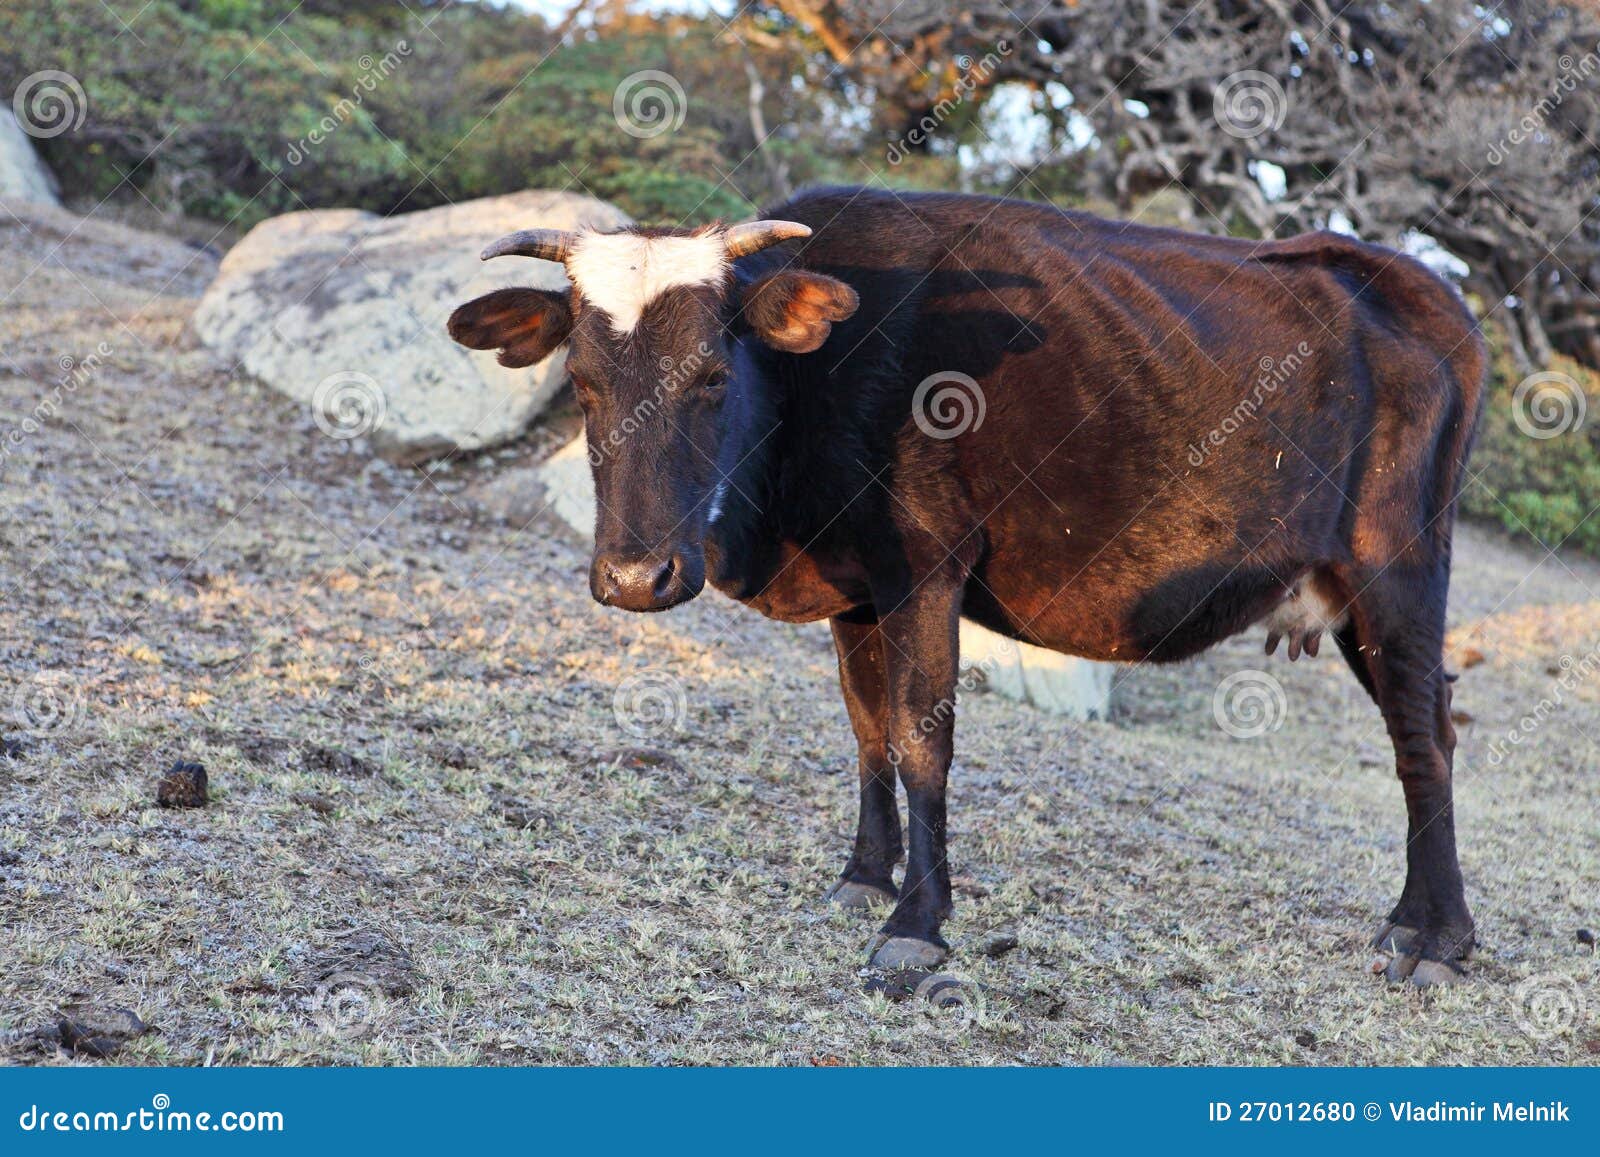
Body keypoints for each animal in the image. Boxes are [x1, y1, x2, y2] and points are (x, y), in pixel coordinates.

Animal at [449, 186, 1485, 986]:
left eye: (710, 373)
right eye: (582, 380)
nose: (636, 576)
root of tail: (1416, 284)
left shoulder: (925, 572)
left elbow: (920, 737)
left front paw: (916, 925)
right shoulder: (858, 589)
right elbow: (867, 728)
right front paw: (865, 877)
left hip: (1399, 569)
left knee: (1421, 738)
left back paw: (1438, 940)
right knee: (1428, 727)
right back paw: (1419, 922)